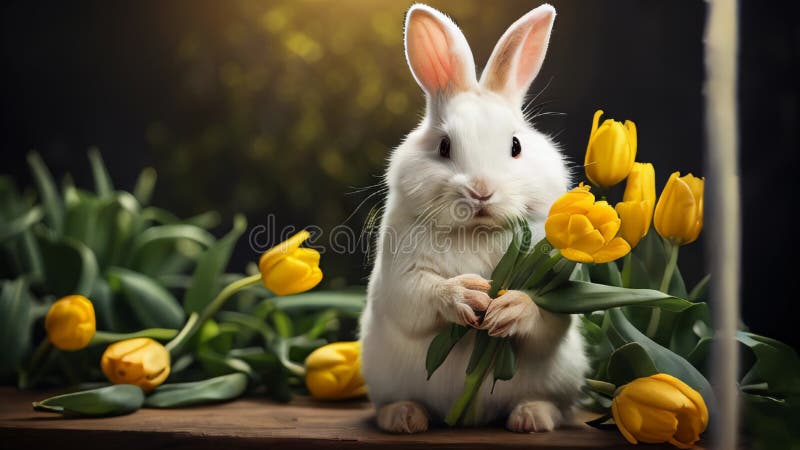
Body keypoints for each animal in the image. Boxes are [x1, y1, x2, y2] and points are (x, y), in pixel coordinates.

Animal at [359, 3, 588, 434]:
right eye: (444, 146)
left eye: (516, 145)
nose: (481, 190)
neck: (477, 231)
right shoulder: (401, 273)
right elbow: (419, 294)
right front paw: (467, 294)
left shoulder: (560, 292)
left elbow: (545, 317)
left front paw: (508, 308)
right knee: (392, 402)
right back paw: (404, 417)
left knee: (554, 404)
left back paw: (532, 417)